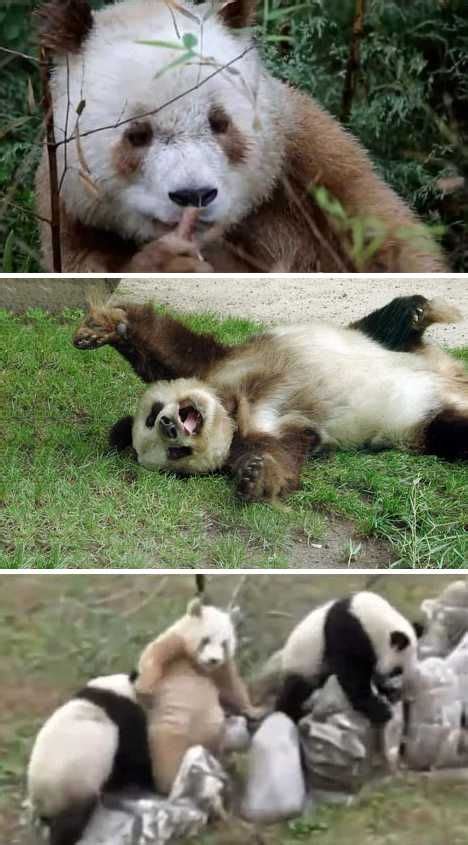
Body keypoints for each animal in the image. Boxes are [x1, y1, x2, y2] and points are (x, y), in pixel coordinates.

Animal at [27, 673, 154, 845]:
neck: (111, 688)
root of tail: (43, 796)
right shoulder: (125, 717)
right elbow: (135, 755)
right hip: (74, 789)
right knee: (70, 824)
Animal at [275, 592, 419, 725]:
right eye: (398, 670)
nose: (403, 688)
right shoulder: (347, 632)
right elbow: (351, 672)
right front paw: (379, 709)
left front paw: (388, 691)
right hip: (303, 665)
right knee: (294, 692)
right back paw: (289, 713)